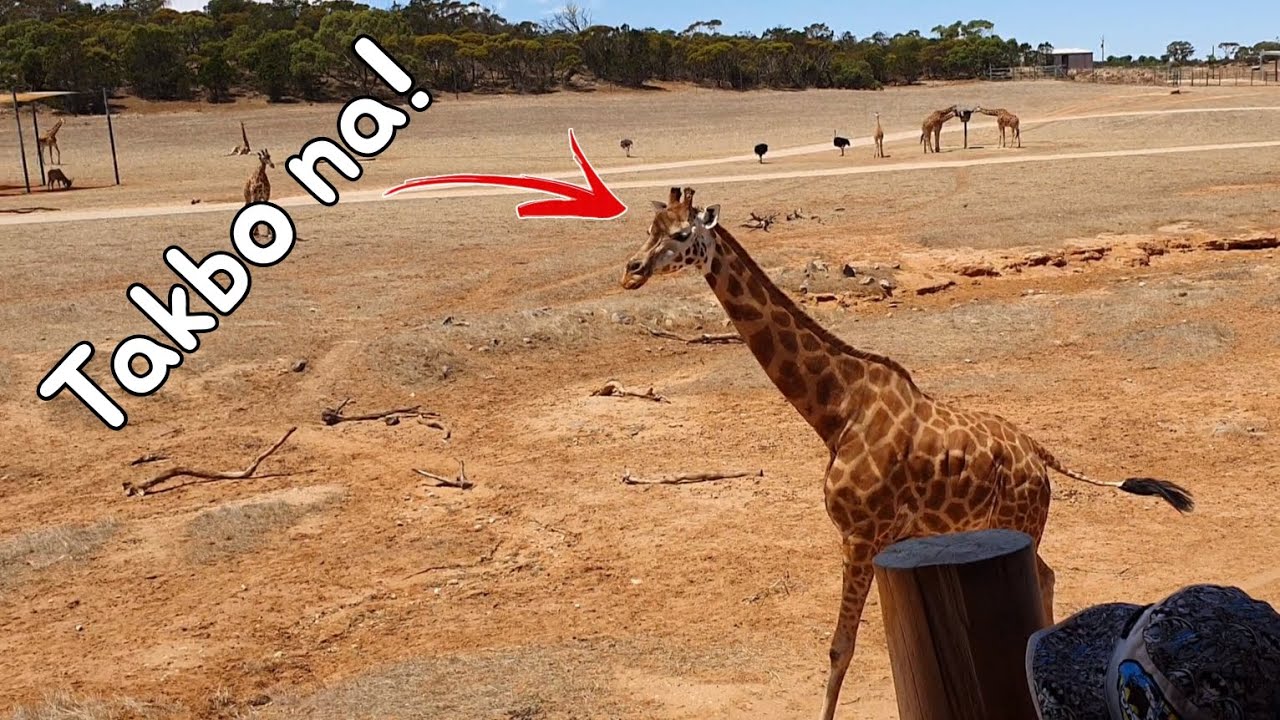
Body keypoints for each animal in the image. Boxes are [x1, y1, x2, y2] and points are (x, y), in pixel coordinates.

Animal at [620, 187, 1194, 720]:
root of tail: (1041, 453)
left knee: (1043, 577)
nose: (631, 272)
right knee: (1048, 574)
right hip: (998, 525)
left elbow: (840, 647)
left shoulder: (858, 534)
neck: (837, 410)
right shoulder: (885, 538)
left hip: (1021, 522)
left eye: (680, 235)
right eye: (650, 228)